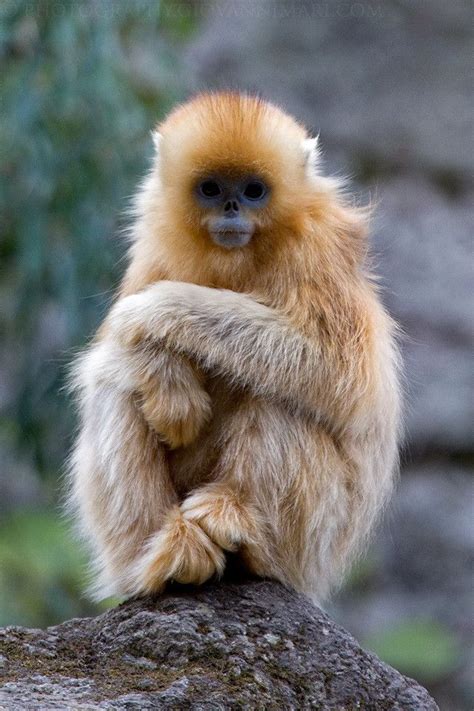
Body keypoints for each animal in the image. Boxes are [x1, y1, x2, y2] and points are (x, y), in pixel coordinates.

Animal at [68, 92, 401, 604]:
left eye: (253, 190)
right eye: (210, 188)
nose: (230, 208)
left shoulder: (317, 245)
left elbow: (343, 374)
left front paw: (158, 308)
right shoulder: (152, 246)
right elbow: (110, 357)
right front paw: (170, 387)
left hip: (312, 545)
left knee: (282, 392)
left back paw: (232, 517)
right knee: (115, 384)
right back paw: (169, 555)